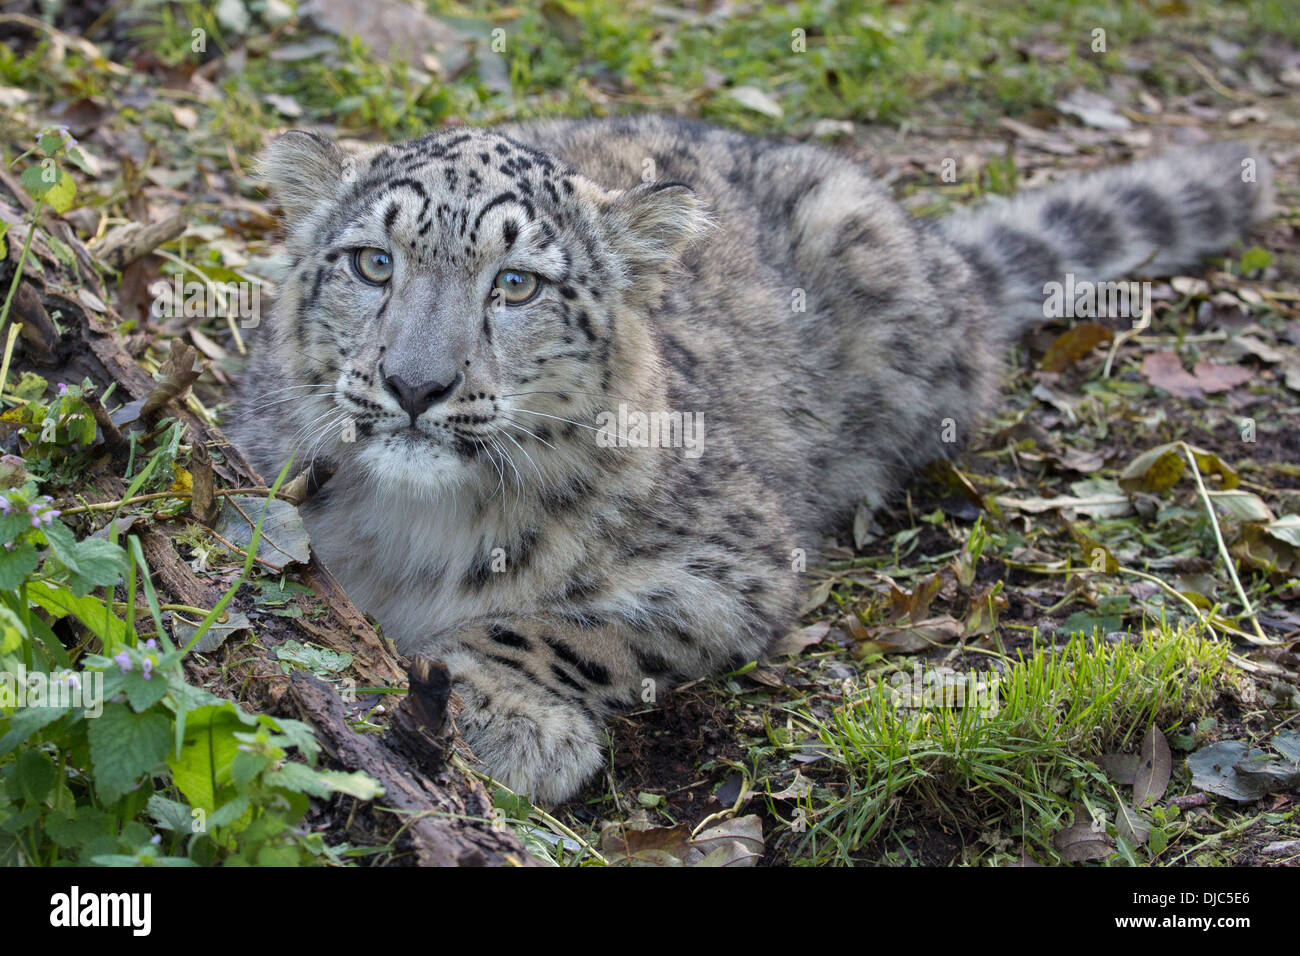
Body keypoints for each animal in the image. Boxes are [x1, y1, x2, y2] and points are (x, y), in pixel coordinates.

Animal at [233, 114, 1272, 803]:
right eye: (373, 263)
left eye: (517, 284)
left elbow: (560, 625)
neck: (423, 523)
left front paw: (500, 712)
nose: (416, 384)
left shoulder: (731, 563)